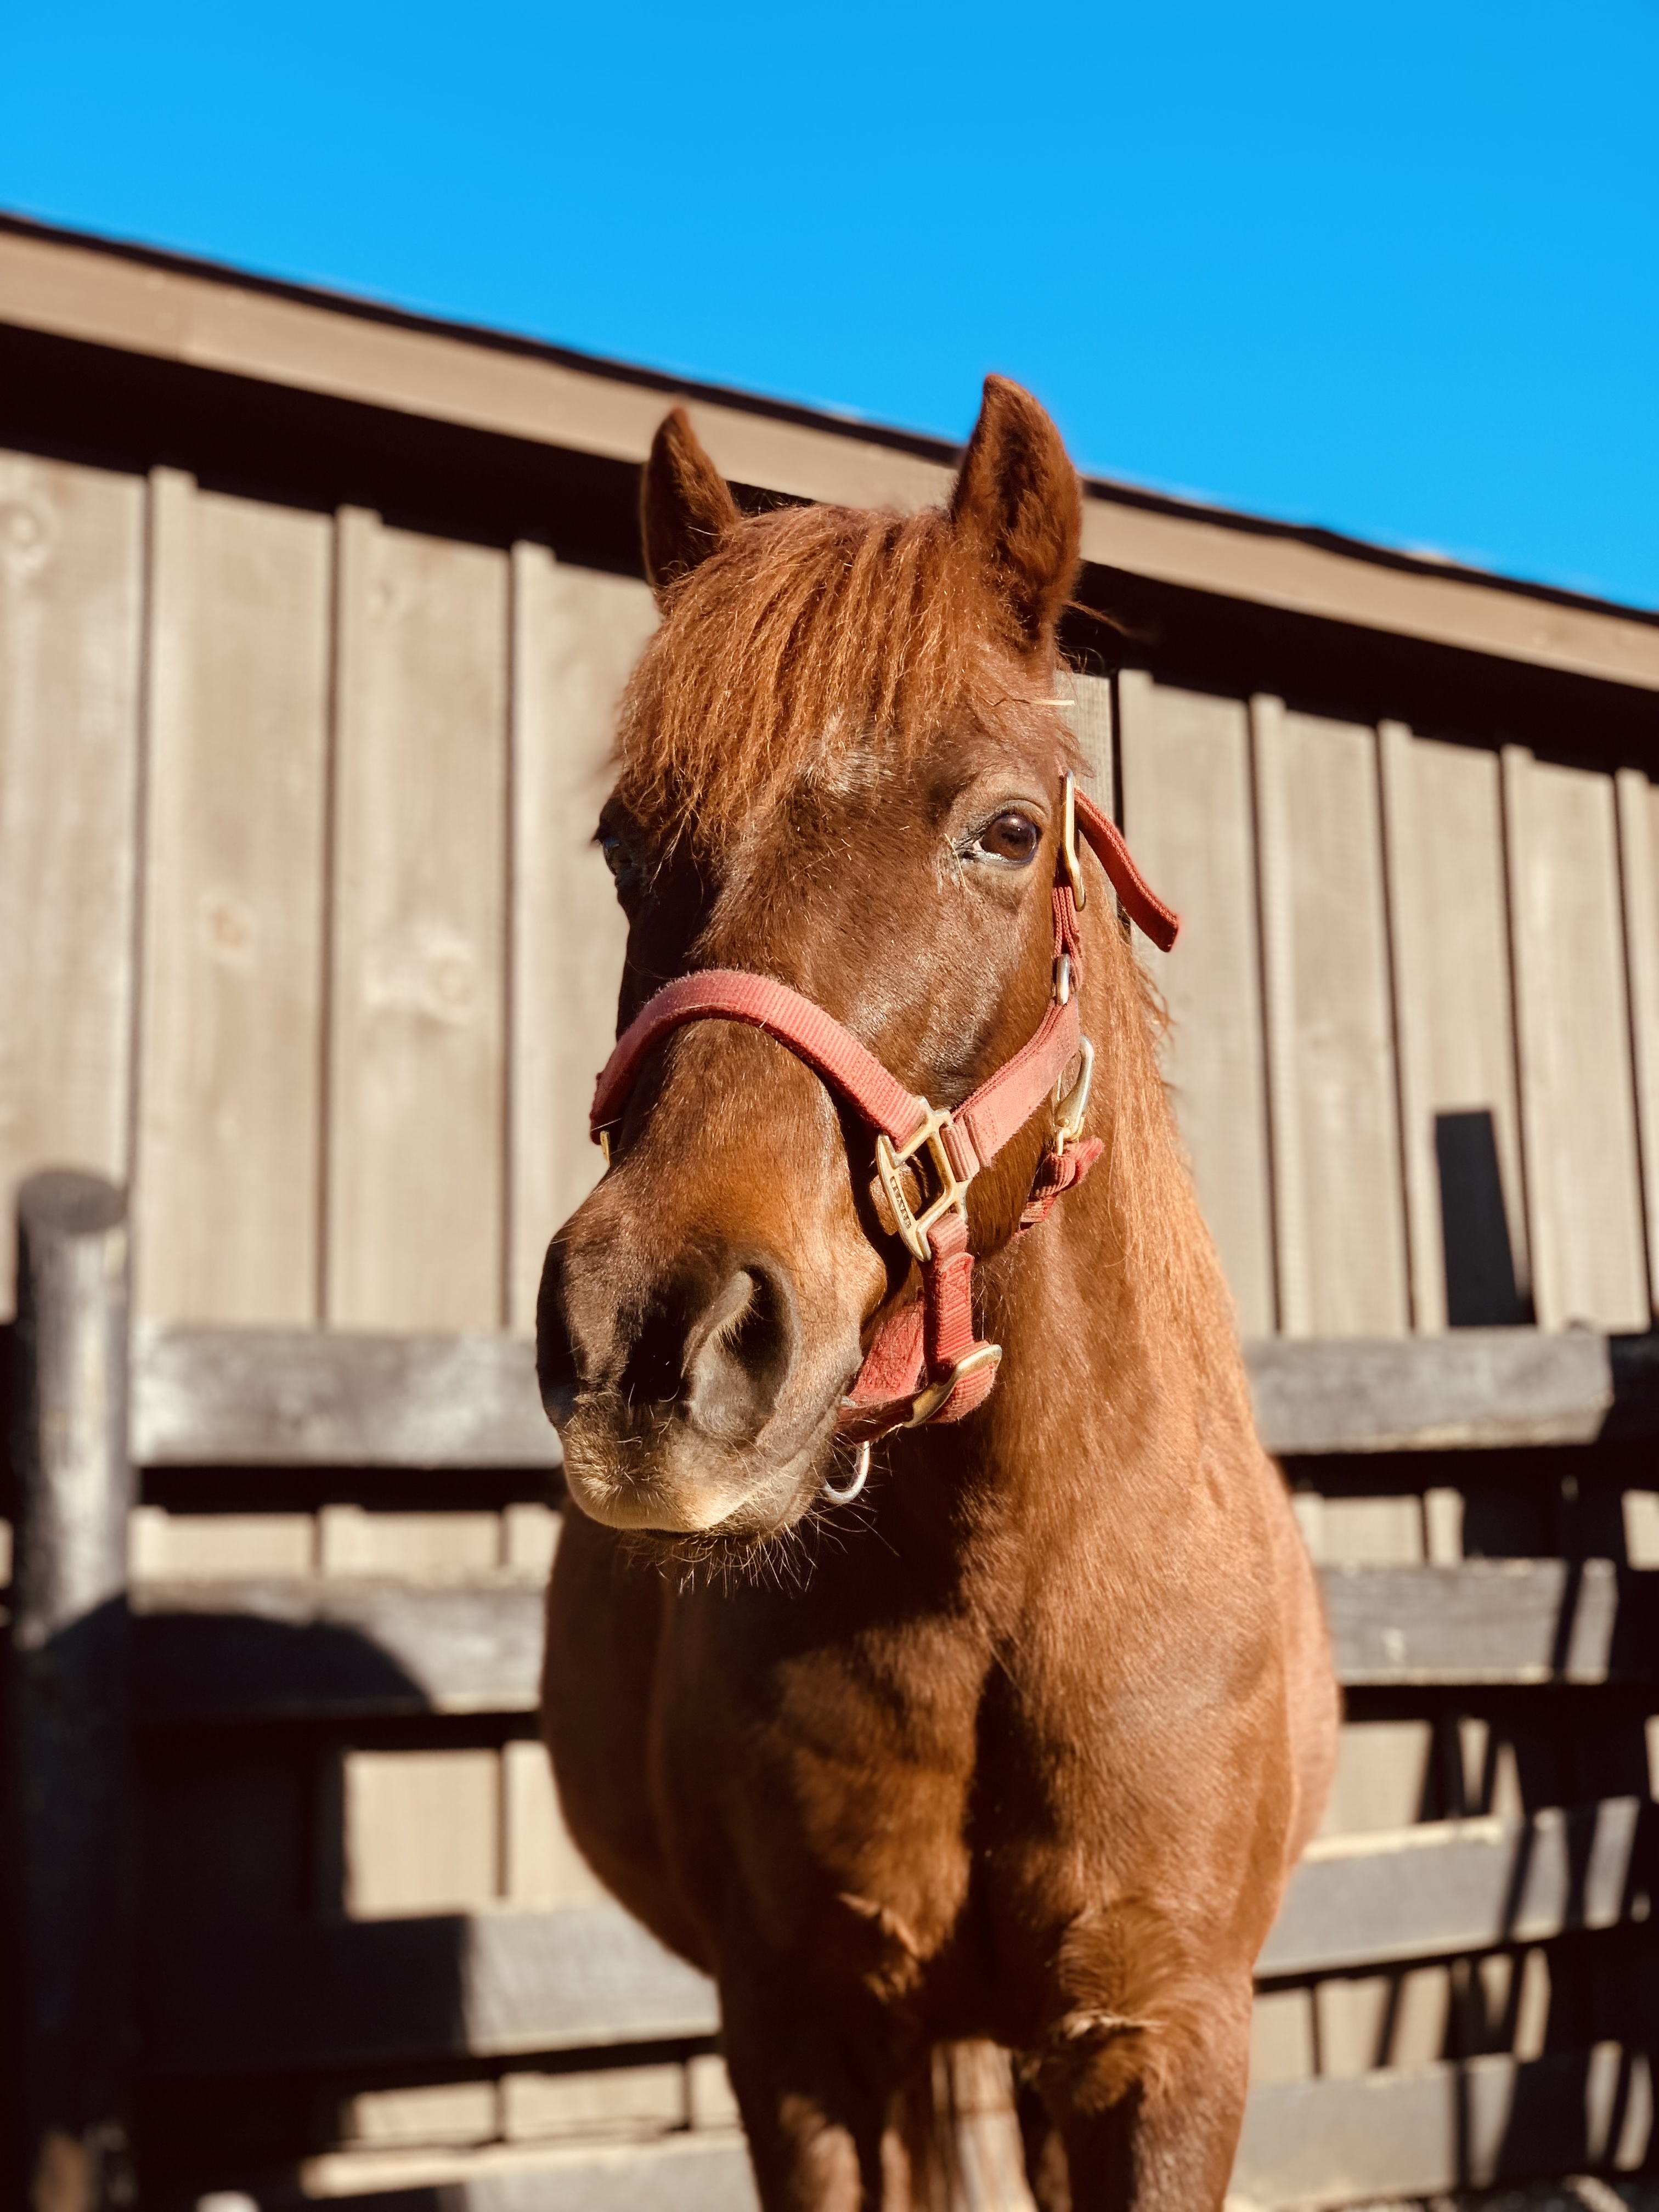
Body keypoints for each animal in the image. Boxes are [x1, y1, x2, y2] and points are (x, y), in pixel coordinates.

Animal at [535, 375, 1338, 2210]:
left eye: (1008, 831)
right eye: (625, 848)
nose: (652, 1337)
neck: (1001, 1583)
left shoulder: (1160, 2042)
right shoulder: (807, 2034)